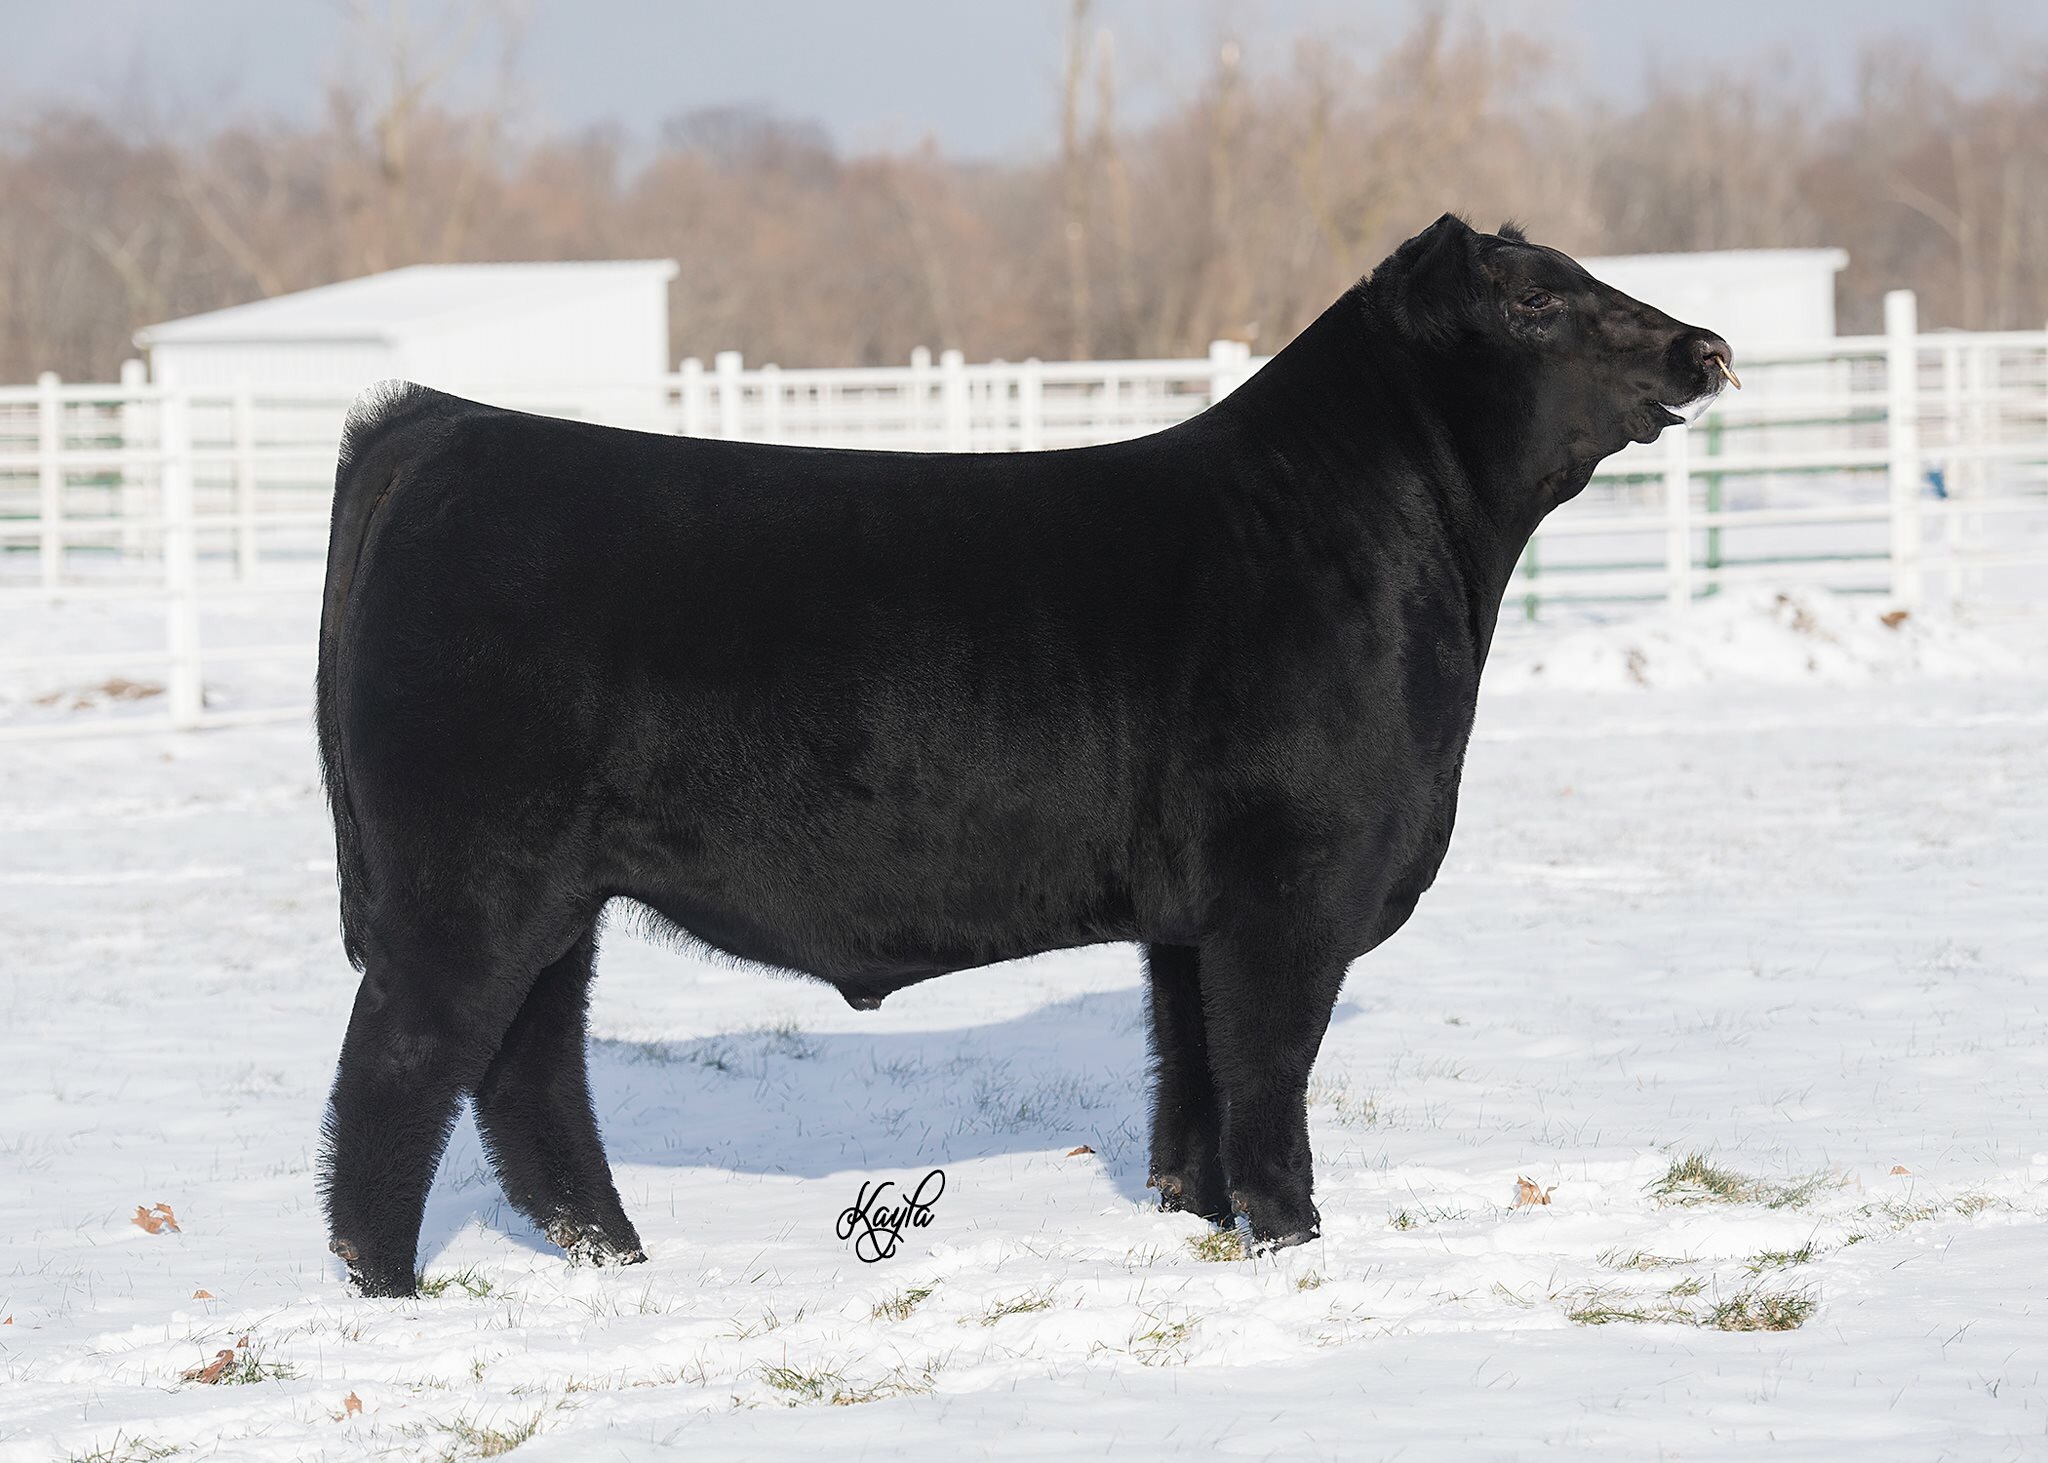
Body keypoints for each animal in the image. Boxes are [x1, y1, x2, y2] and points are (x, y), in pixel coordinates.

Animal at [314, 214, 1733, 1297]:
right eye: (1536, 299)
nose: (1703, 345)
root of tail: (443, 425)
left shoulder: (1188, 913)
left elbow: (1189, 1076)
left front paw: (1192, 1219)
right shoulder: (1289, 884)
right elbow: (1266, 1068)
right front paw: (1294, 1244)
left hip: (557, 892)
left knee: (528, 1070)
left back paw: (615, 1259)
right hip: (472, 877)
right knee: (400, 1072)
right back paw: (390, 1292)